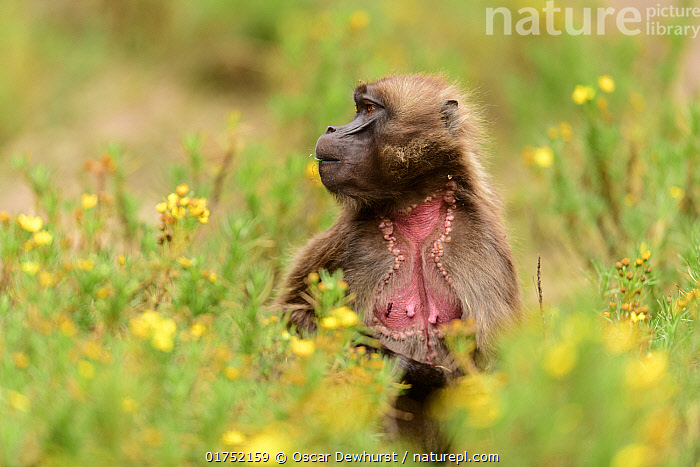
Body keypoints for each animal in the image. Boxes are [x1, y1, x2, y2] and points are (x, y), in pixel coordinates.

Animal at [277, 74, 522, 449]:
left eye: (369, 109)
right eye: (359, 107)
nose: (332, 129)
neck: (414, 216)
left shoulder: (482, 245)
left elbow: (494, 362)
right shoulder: (350, 240)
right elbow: (293, 318)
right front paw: (413, 369)